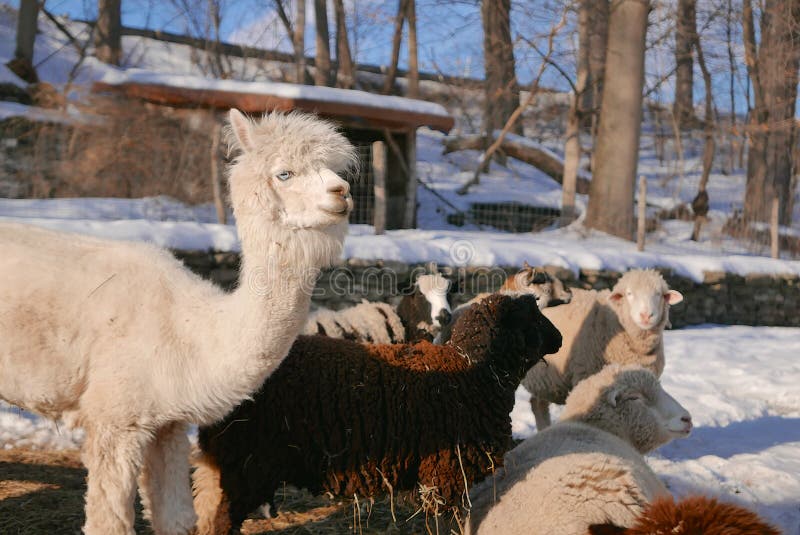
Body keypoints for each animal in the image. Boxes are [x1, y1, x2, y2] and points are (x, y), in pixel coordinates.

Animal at [0, 110, 356, 535]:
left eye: (335, 169)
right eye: (284, 173)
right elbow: (109, 524)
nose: (342, 192)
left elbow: (176, 519)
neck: (189, 328)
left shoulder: (166, 423)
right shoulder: (114, 417)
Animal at [192, 293, 563, 535]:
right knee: (220, 521)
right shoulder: (446, 474)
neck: (474, 369)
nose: (559, 338)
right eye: (531, 317)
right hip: (242, 465)